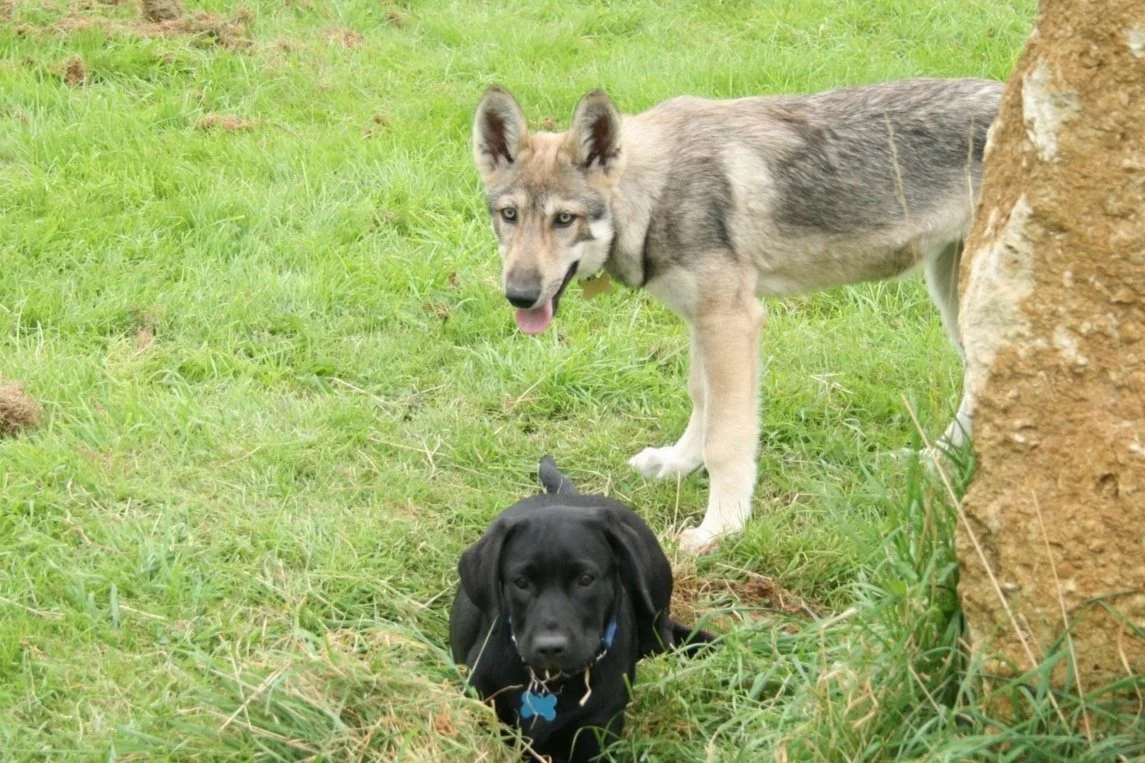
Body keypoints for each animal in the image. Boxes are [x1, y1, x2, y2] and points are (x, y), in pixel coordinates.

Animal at [471, 78, 1001, 552]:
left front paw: (721, 528)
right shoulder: (701, 321)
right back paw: (932, 461)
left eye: (564, 219)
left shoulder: (731, 320)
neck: (655, 193)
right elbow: (700, 401)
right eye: (509, 215)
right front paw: (677, 465)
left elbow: (725, 440)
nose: (519, 295)